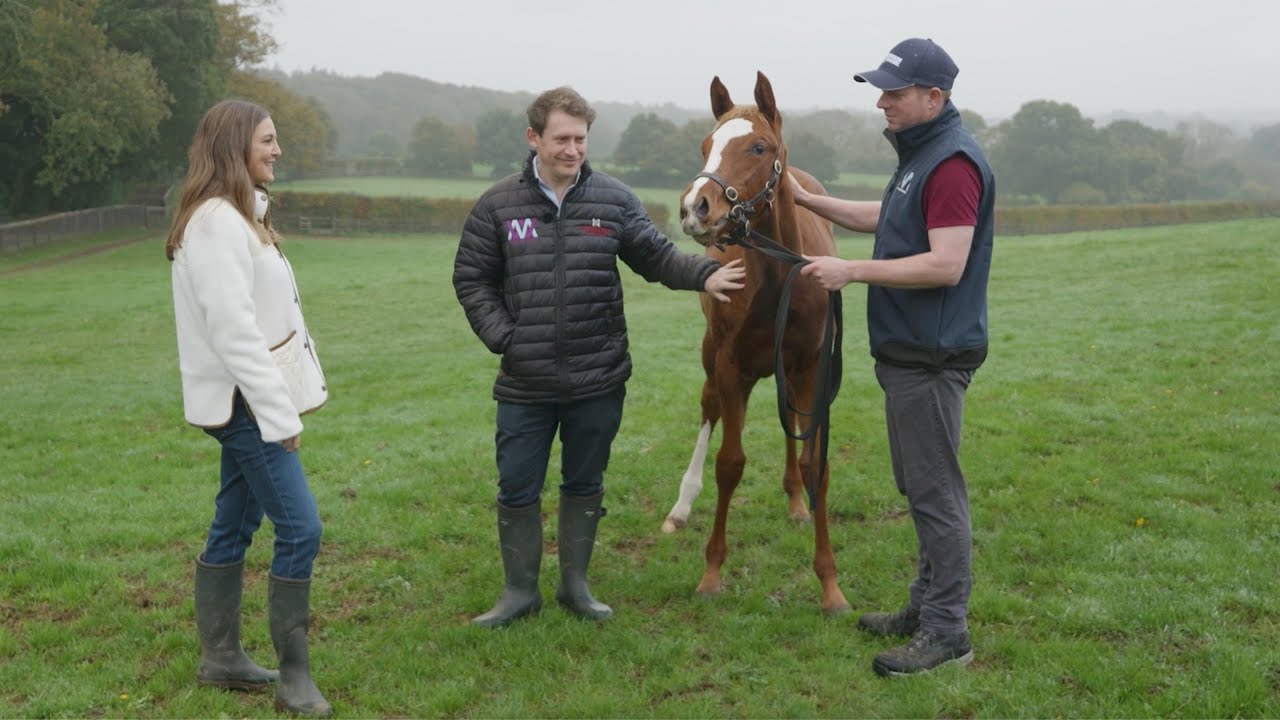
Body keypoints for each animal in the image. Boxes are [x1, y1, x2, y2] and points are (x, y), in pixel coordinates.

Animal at [662, 71, 850, 616]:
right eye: (707, 145)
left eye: (758, 147)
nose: (695, 208)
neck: (779, 277)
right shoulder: (729, 365)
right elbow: (730, 464)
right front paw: (711, 573)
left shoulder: (812, 367)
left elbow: (814, 462)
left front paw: (830, 585)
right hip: (712, 359)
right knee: (709, 411)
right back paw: (681, 507)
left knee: (790, 422)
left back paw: (795, 503)